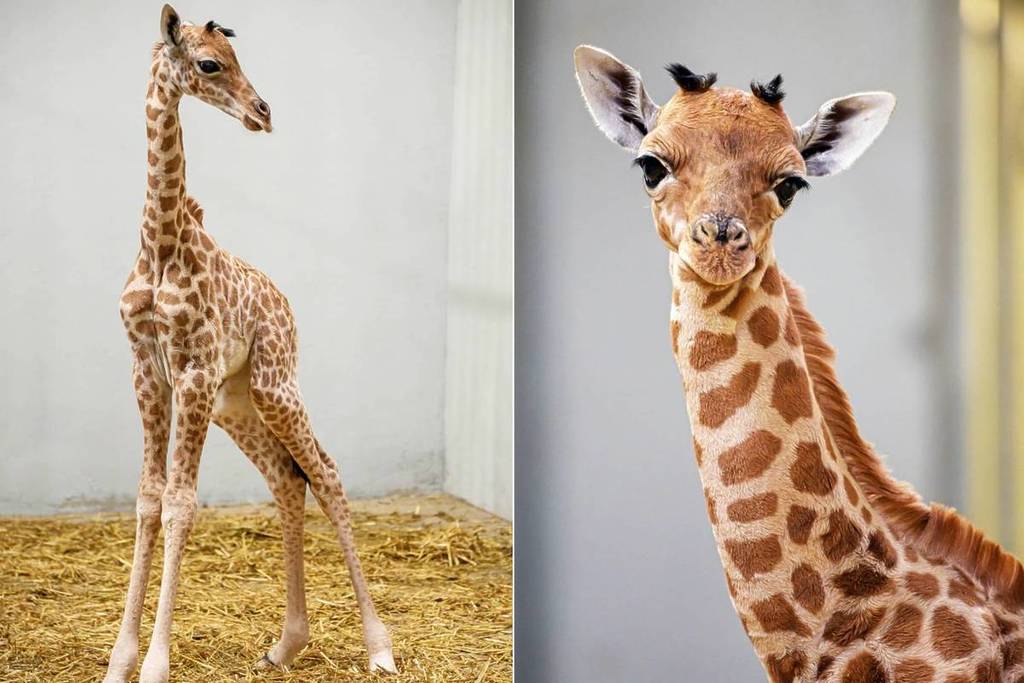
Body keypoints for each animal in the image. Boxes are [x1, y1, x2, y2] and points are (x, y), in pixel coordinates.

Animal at [104, 6, 396, 682]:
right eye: (210, 64)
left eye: (234, 58)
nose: (262, 112)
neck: (161, 246)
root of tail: (287, 306)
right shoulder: (147, 371)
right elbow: (148, 500)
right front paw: (119, 660)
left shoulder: (192, 371)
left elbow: (181, 502)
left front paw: (155, 664)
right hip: (236, 401)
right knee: (288, 479)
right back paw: (287, 643)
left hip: (274, 384)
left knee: (327, 472)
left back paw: (378, 646)